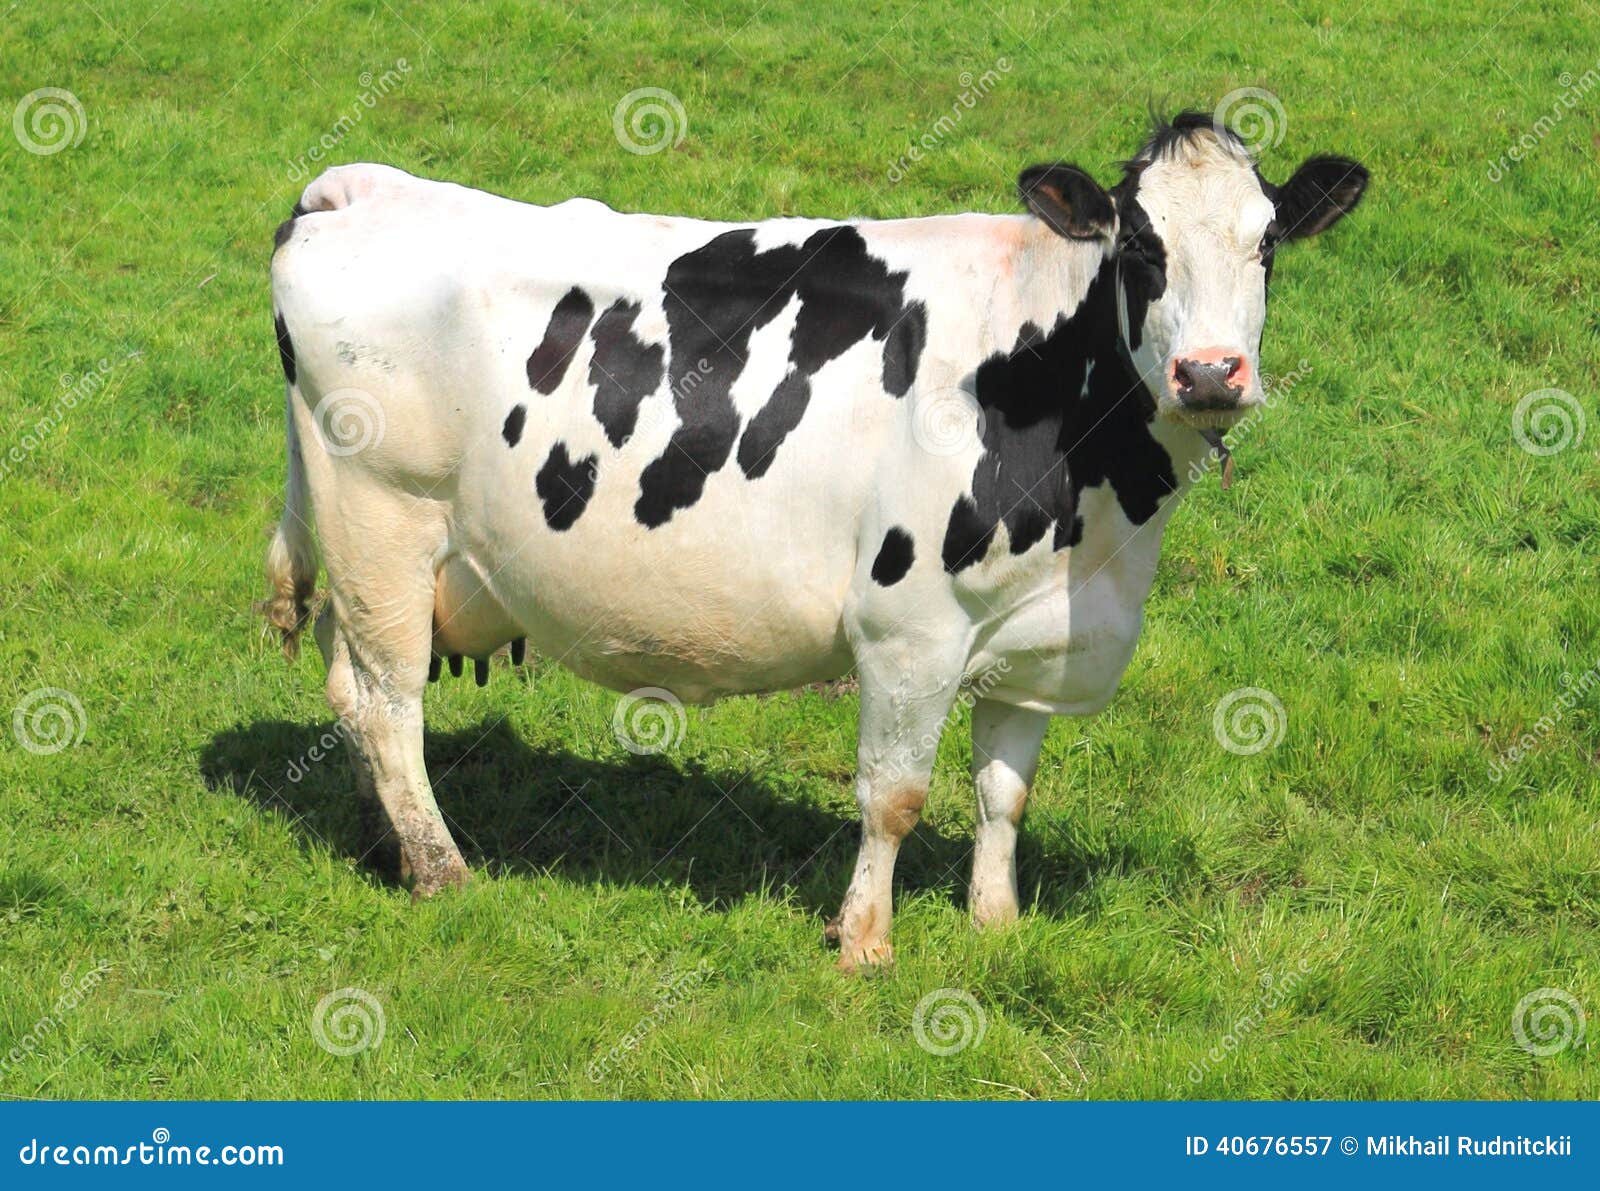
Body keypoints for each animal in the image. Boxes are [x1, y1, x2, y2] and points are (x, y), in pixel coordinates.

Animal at [262, 112, 1367, 970]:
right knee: (390, 703)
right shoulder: (909, 631)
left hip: (373, 547)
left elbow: (1003, 796)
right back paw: (442, 869)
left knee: (345, 688)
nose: (1210, 373)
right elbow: (895, 796)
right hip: (383, 519)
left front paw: (996, 926)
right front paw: (865, 942)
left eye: (1268, 245)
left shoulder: (1037, 644)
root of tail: (358, 189)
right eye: (1140, 246)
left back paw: (384, 847)